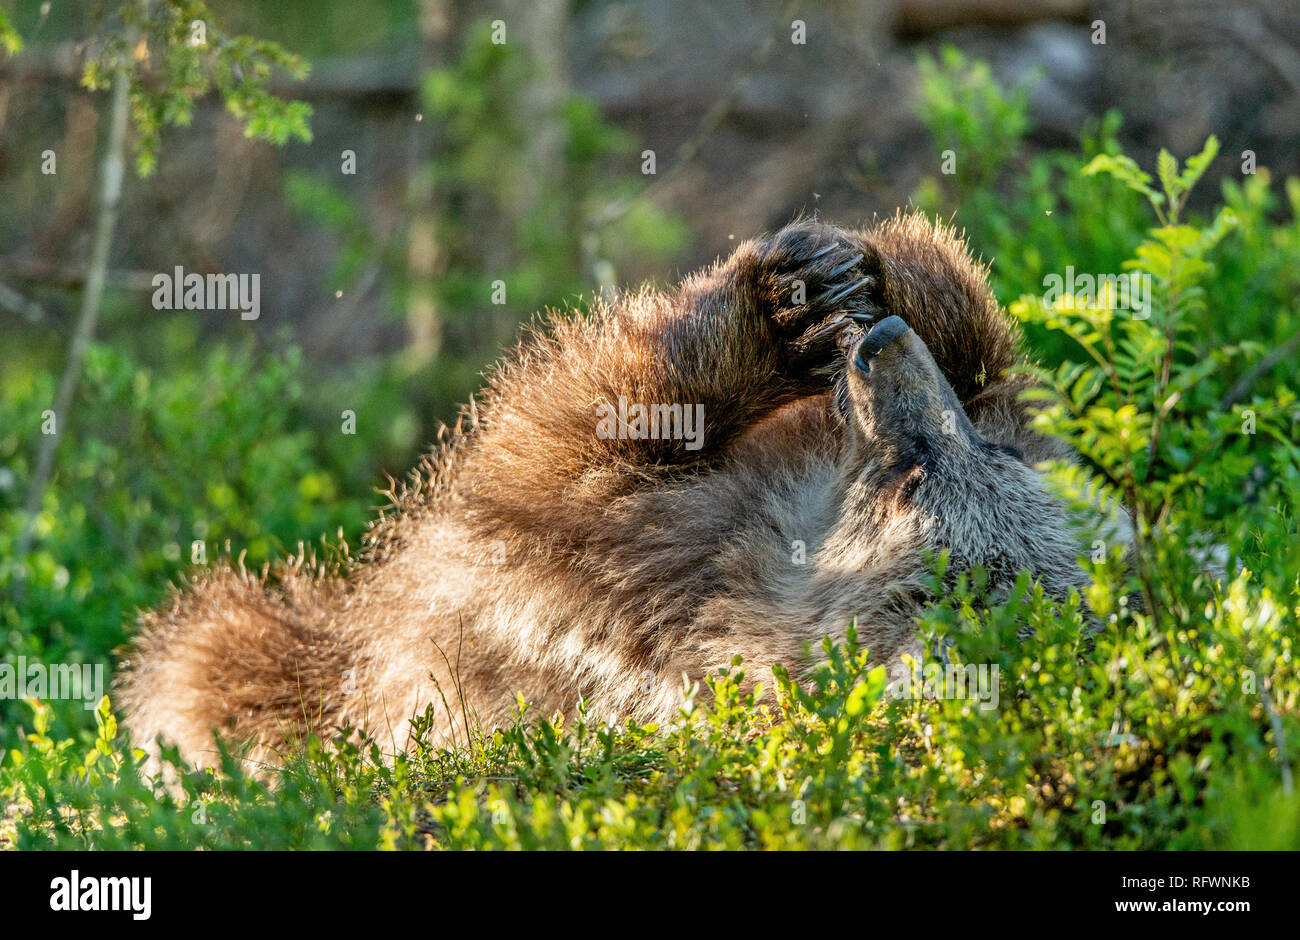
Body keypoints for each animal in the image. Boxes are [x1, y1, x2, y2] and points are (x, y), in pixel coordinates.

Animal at [117, 211, 1084, 772]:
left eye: (907, 474)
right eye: (996, 449)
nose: (882, 346)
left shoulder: (627, 576)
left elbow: (565, 442)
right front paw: (825, 286)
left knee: (221, 660)